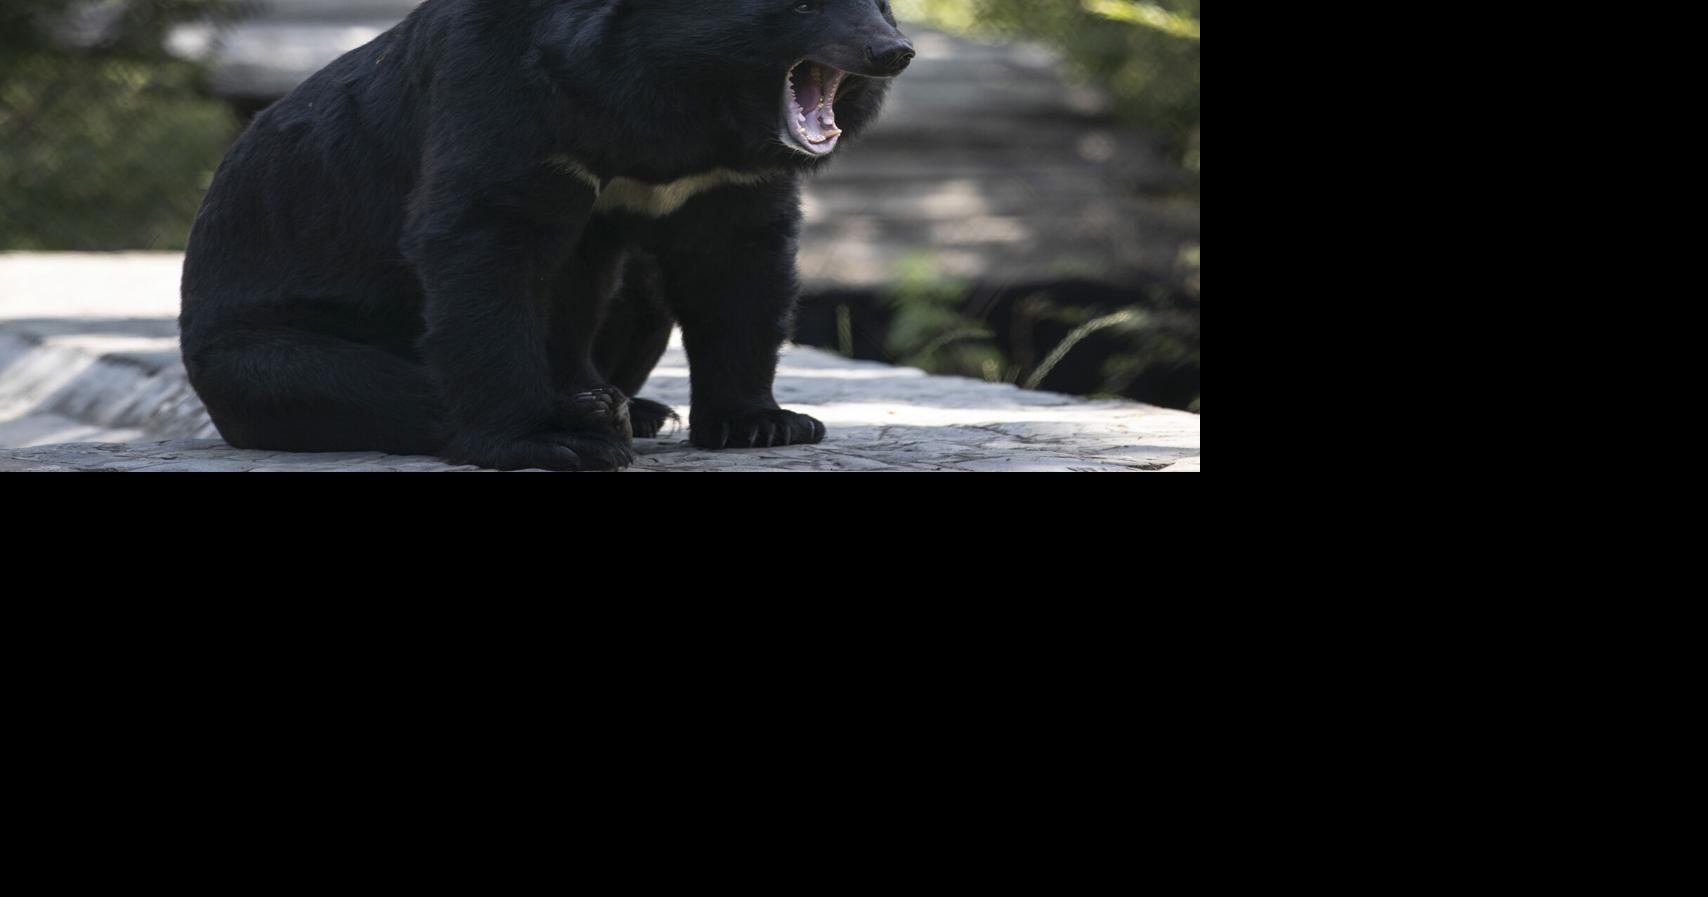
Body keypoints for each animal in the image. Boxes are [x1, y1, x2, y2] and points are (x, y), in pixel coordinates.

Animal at [179, 0, 913, 470]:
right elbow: (483, 246)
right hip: (251, 344)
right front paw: (542, 441)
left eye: (876, 5)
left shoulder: (726, 177)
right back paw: (590, 419)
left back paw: (632, 408)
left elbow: (739, 268)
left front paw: (767, 423)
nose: (893, 51)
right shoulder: (505, 92)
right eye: (801, 7)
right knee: (352, 384)